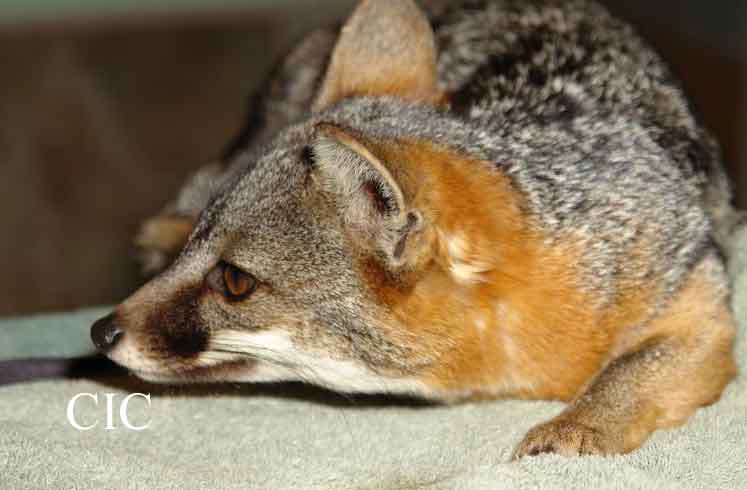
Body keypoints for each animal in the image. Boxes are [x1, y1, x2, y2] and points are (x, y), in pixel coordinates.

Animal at [91, 0, 741, 459]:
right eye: (196, 246)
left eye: (234, 281)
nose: (101, 331)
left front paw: (579, 426)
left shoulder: (699, 304)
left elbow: (632, 371)